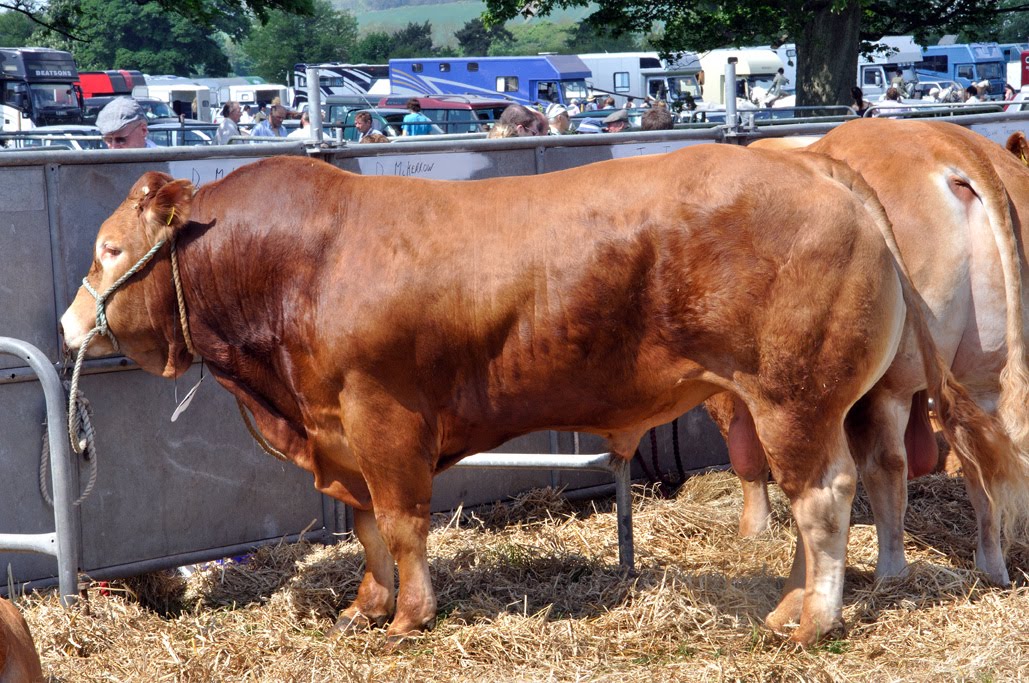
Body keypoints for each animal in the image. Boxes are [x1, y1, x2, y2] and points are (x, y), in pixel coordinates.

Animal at [59, 147, 985, 645]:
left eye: (108, 248)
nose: (68, 324)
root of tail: (805, 163)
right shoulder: (336, 430)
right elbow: (364, 525)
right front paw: (366, 605)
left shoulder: (382, 414)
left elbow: (401, 520)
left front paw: (409, 616)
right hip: (810, 403)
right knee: (819, 500)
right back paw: (790, 603)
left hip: (791, 397)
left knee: (822, 499)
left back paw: (810, 622)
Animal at [721, 119, 1029, 585]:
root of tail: (951, 144)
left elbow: (746, 455)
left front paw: (753, 529)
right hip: (982, 374)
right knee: (983, 461)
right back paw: (992, 568)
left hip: (889, 381)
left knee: (888, 464)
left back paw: (890, 571)